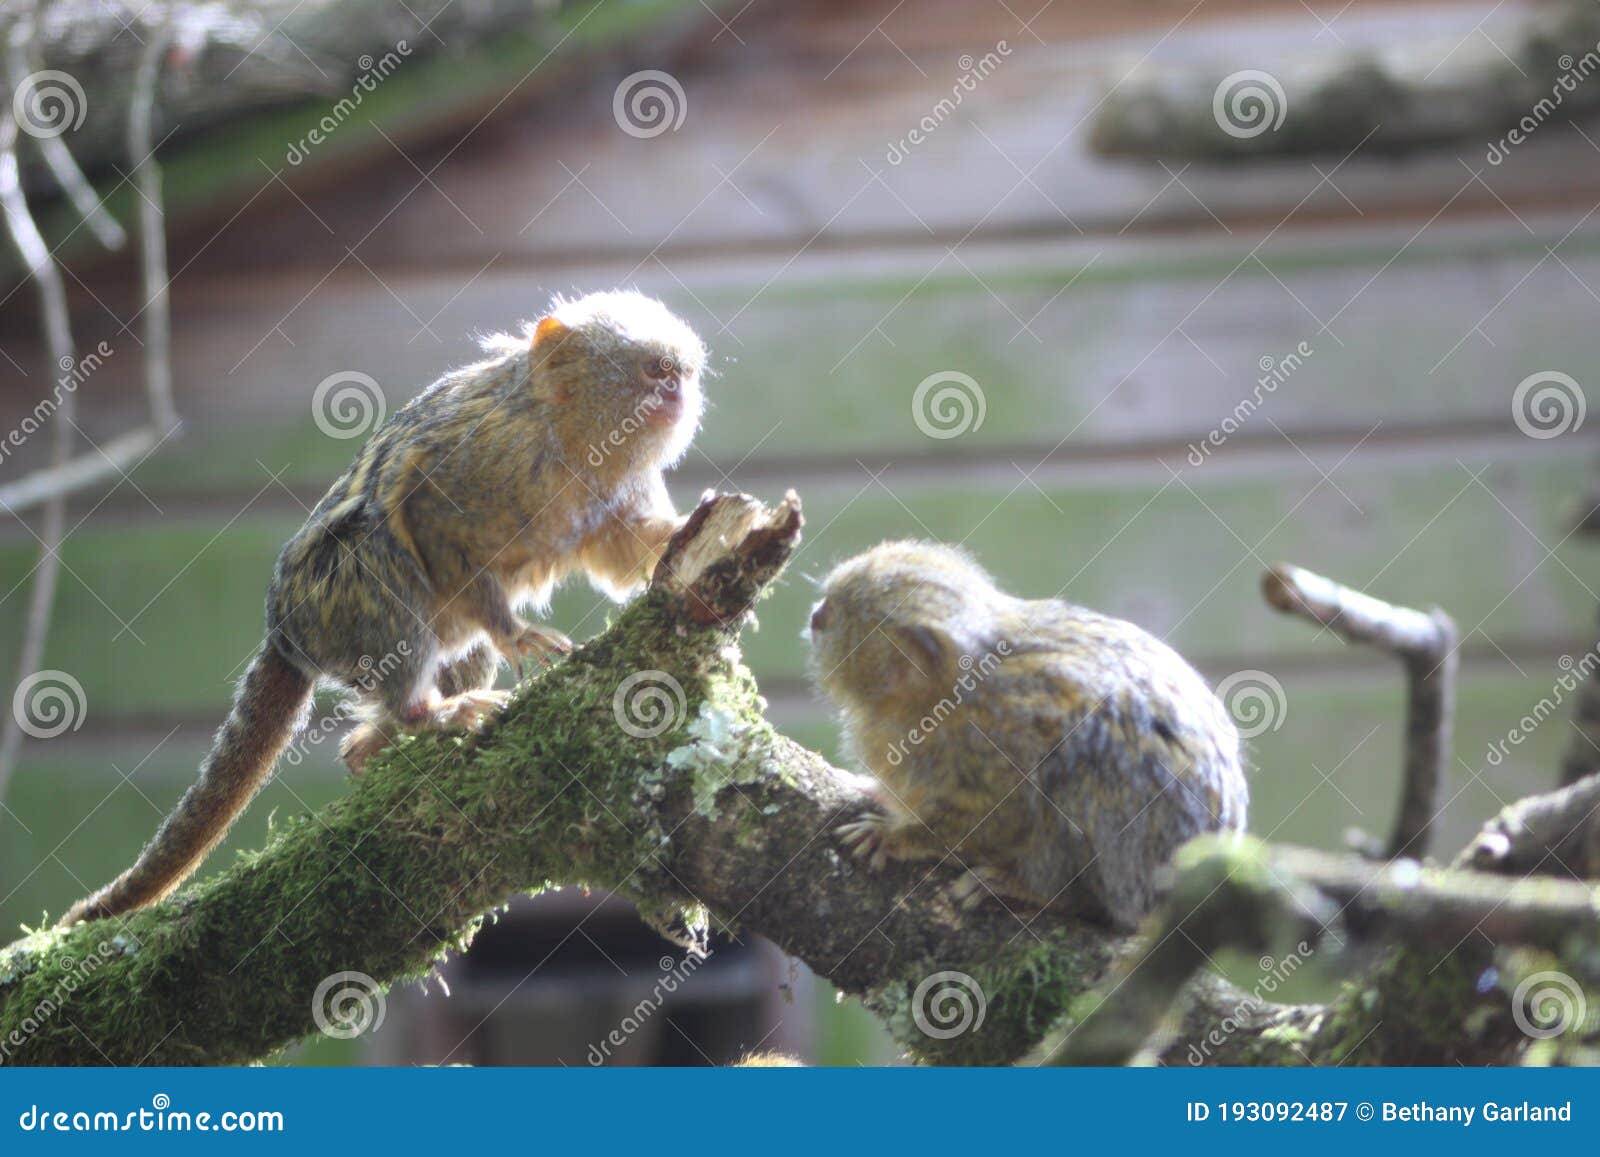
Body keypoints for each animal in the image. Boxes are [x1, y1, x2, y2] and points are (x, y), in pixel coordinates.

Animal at [59, 290, 708, 927]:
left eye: (683, 373)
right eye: (655, 371)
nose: (677, 396)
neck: (563, 433)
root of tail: (283, 627)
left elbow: (625, 555)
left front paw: (690, 528)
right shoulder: (483, 455)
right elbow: (431, 522)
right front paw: (514, 632)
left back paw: (376, 743)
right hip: (335, 603)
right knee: (378, 552)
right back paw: (424, 713)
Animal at [806, 541, 1247, 930]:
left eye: (835, 613)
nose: (815, 616)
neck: (938, 697)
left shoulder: (1000, 736)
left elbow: (1010, 810)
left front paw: (899, 837)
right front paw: (874, 793)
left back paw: (1041, 892)